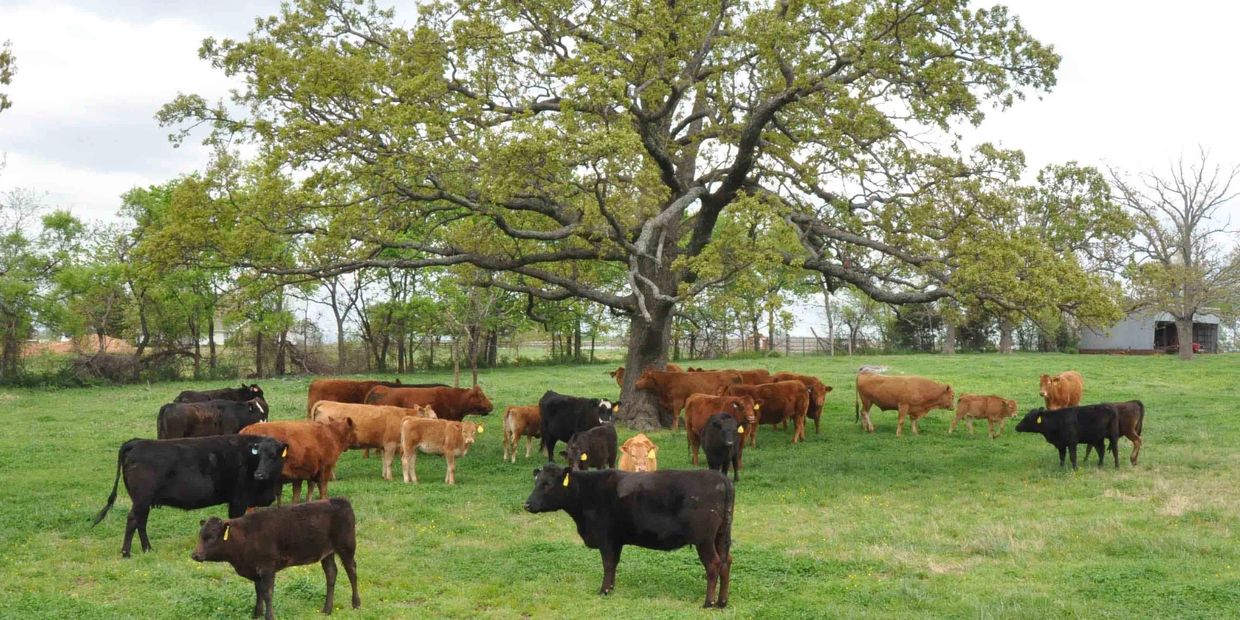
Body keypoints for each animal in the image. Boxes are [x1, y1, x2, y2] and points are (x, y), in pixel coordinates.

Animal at [91, 435, 286, 558]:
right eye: (259, 456)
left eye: (273, 455)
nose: (259, 474)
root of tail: (138, 442)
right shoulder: (238, 500)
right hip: (141, 499)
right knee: (133, 520)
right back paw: (126, 553)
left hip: (143, 501)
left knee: (141, 521)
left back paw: (147, 549)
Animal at [191, 497, 360, 620]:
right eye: (200, 535)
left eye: (212, 537)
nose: (195, 555)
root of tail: (339, 500)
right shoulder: (255, 569)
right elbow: (258, 591)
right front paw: (256, 614)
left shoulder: (267, 567)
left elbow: (267, 593)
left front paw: (269, 616)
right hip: (327, 552)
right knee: (331, 574)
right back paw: (327, 609)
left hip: (346, 546)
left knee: (351, 571)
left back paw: (356, 604)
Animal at [524, 464, 734, 608]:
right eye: (536, 481)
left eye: (548, 484)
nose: (527, 504)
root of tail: (720, 477)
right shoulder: (616, 540)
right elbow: (614, 564)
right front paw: (611, 588)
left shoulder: (605, 537)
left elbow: (608, 563)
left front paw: (603, 590)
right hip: (722, 535)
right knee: (726, 562)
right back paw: (722, 602)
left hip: (704, 539)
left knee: (713, 564)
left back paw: (708, 603)